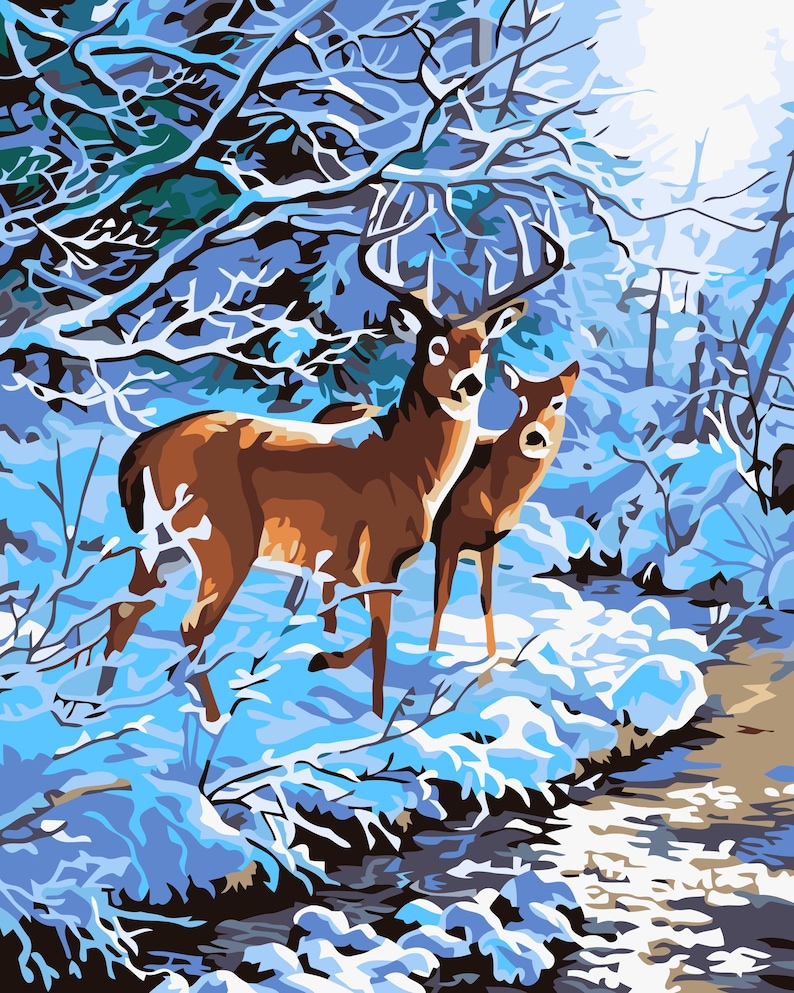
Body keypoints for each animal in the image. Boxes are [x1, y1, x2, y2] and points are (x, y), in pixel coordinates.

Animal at [427, 361, 579, 660]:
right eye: (520, 401)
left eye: (558, 402)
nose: (534, 436)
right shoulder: (447, 533)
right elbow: (441, 597)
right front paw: (431, 654)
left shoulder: (487, 543)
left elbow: (486, 597)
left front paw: (492, 655)